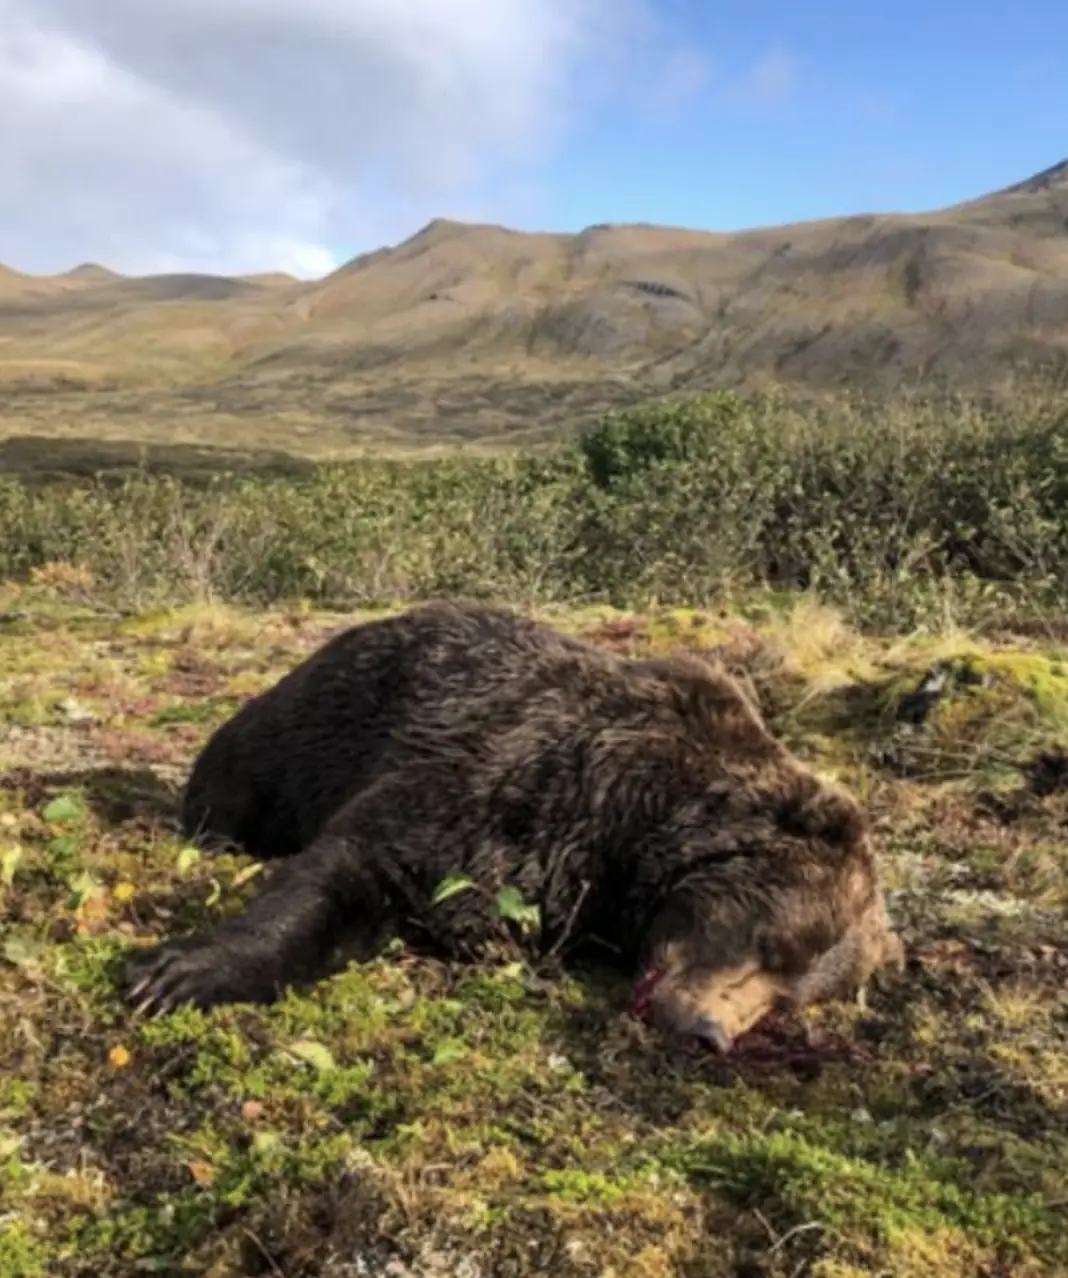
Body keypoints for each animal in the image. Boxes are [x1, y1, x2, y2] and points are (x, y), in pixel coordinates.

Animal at [125, 601, 904, 1053]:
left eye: (787, 1002)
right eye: (769, 942)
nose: (708, 1032)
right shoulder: (511, 778)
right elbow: (357, 864)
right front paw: (174, 973)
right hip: (289, 733)